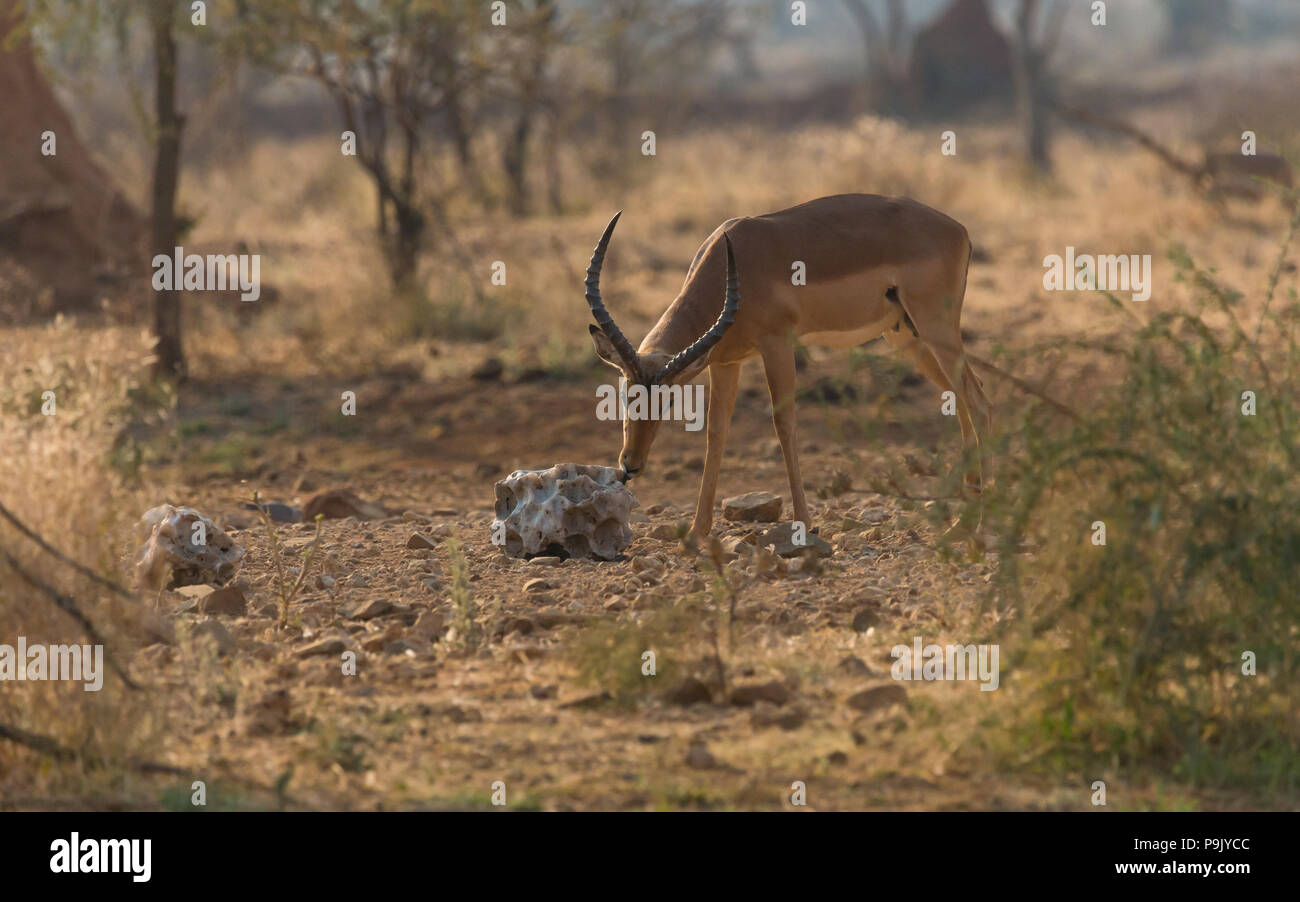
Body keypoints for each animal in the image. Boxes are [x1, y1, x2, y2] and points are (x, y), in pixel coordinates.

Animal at [585, 194, 992, 543]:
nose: (630, 465)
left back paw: (980, 523)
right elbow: (716, 433)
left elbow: (784, 423)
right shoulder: (726, 361)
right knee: (960, 400)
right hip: (907, 337)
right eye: (625, 393)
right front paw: (697, 533)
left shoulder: (777, 344)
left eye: (668, 400)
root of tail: (958, 230)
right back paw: (963, 521)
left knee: (979, 402)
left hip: (936, 329)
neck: (734, 259)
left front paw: (805, 525)